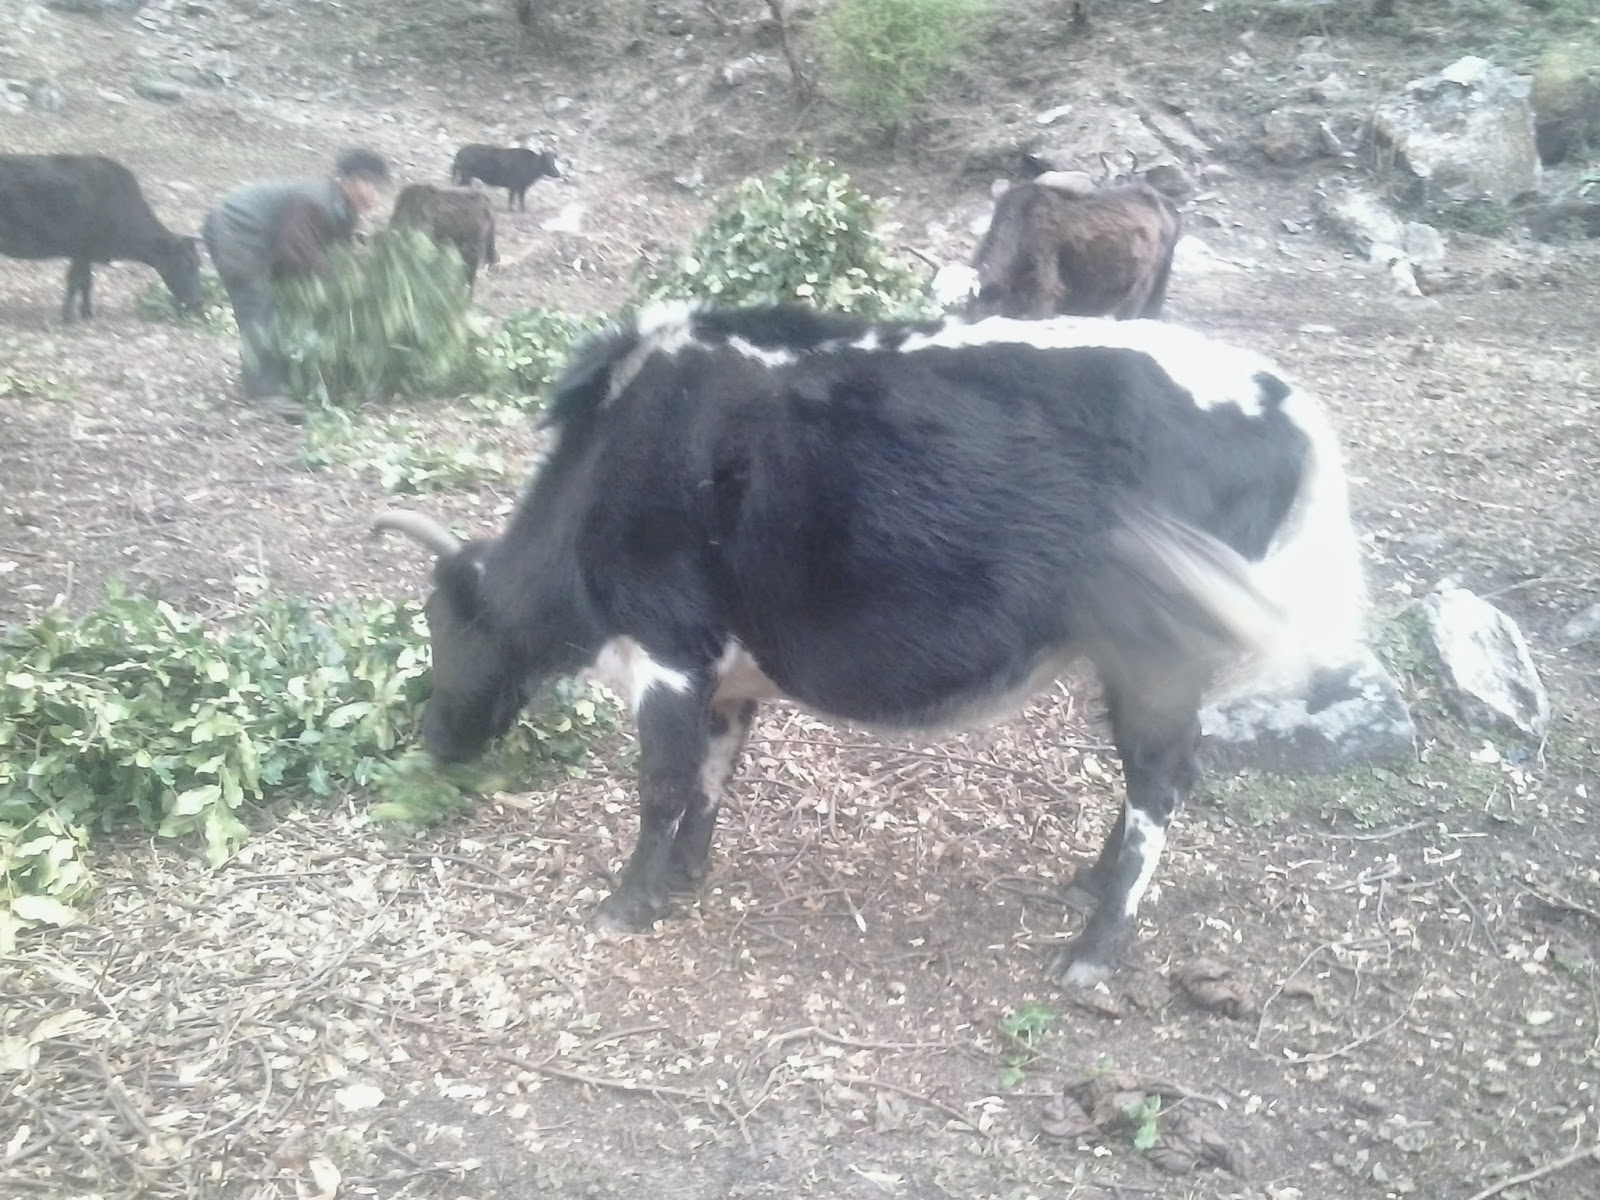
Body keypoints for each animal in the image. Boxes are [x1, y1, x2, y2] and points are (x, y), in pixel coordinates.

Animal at [0, 154, 202, 323]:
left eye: (198, 264)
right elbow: (75, 281)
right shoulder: (81, 249)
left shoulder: (86, 254)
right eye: (187, 264)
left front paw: (87, 313)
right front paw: (68, 317)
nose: (196, 303)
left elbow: (86, 282)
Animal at [373, 302, 1367, 987]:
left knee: (1161, 780)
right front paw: (688, 877)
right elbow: (711, 776)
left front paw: (625, 905)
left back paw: (1091, 953)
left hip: (1161, 652)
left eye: (446, 624)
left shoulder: (668, 655)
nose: (434, 739)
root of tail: (1286, 401)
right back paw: (1087, 890)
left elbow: (660, 784)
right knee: (1147, 776)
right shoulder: (724, 677)